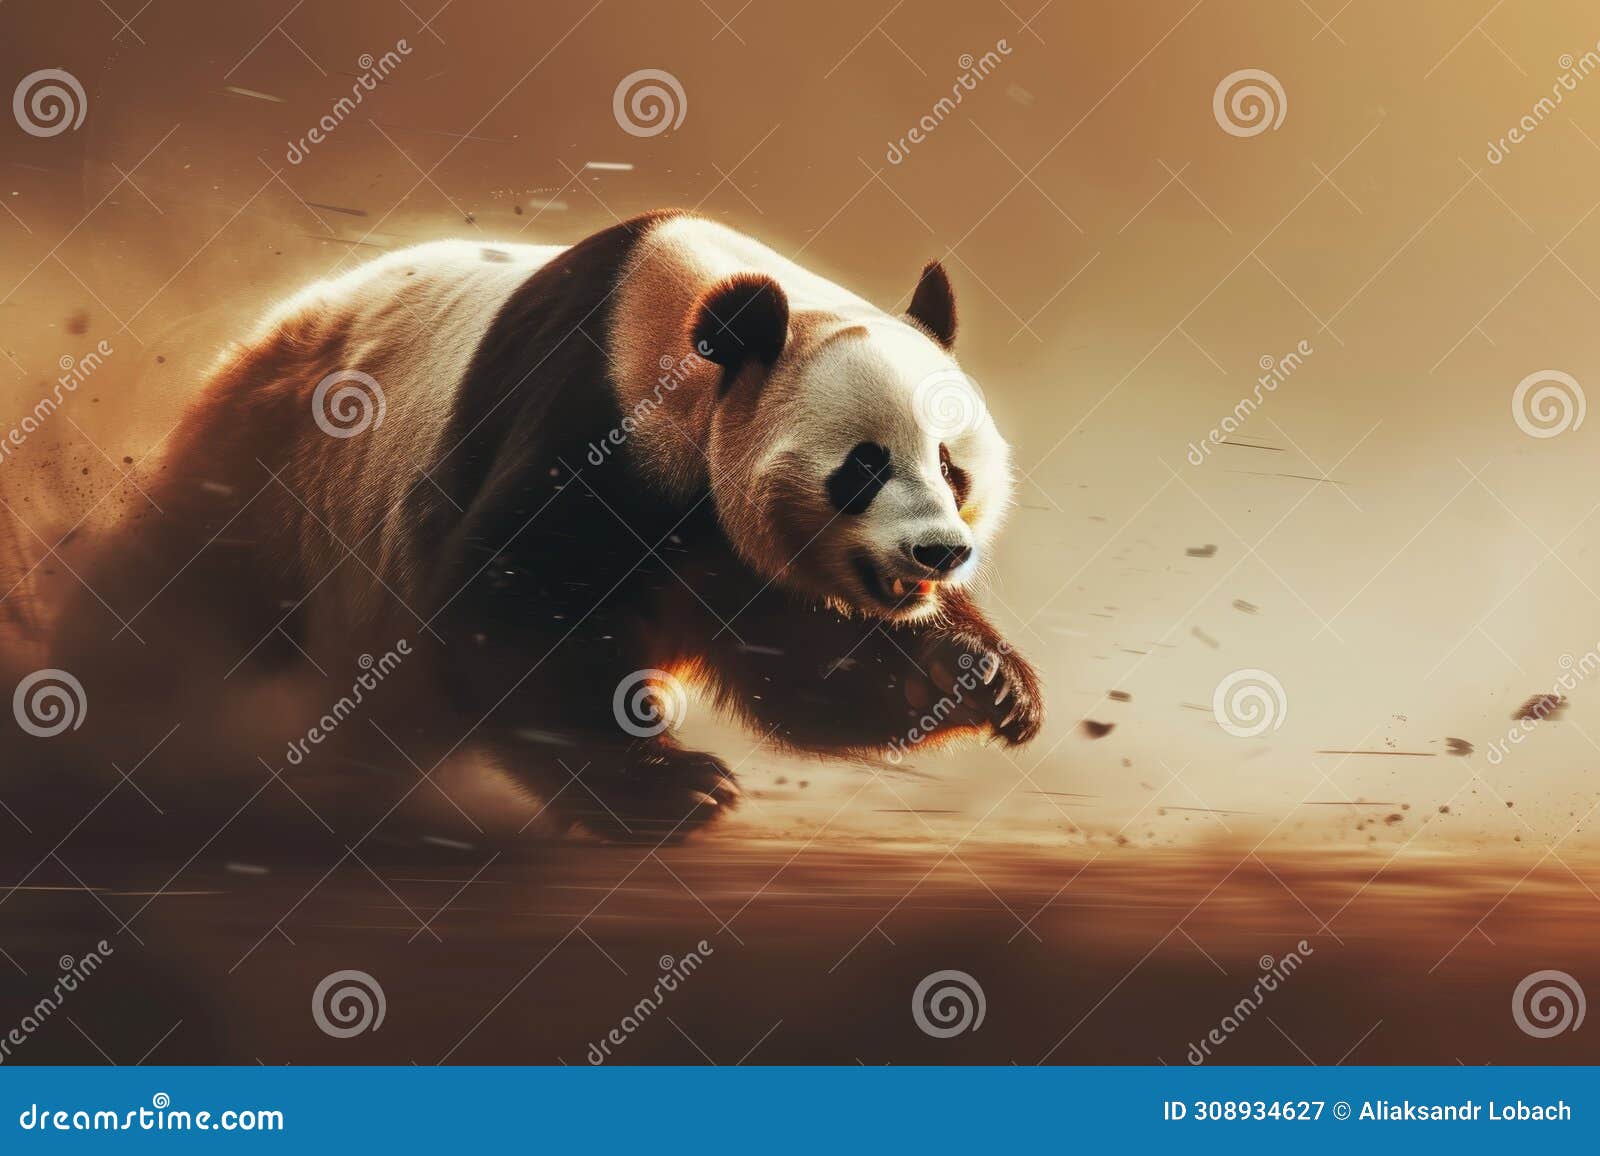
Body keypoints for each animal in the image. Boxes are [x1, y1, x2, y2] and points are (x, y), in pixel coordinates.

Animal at [49, 210, 1043, 842]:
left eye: (952, 466)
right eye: (864, 466)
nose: (939, 551)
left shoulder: (734, 545)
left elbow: (808, 662)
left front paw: (984, 680)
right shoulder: (595, 420)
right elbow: (511, 610)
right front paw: (673, 788)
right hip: (276, 487)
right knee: (192, 605)